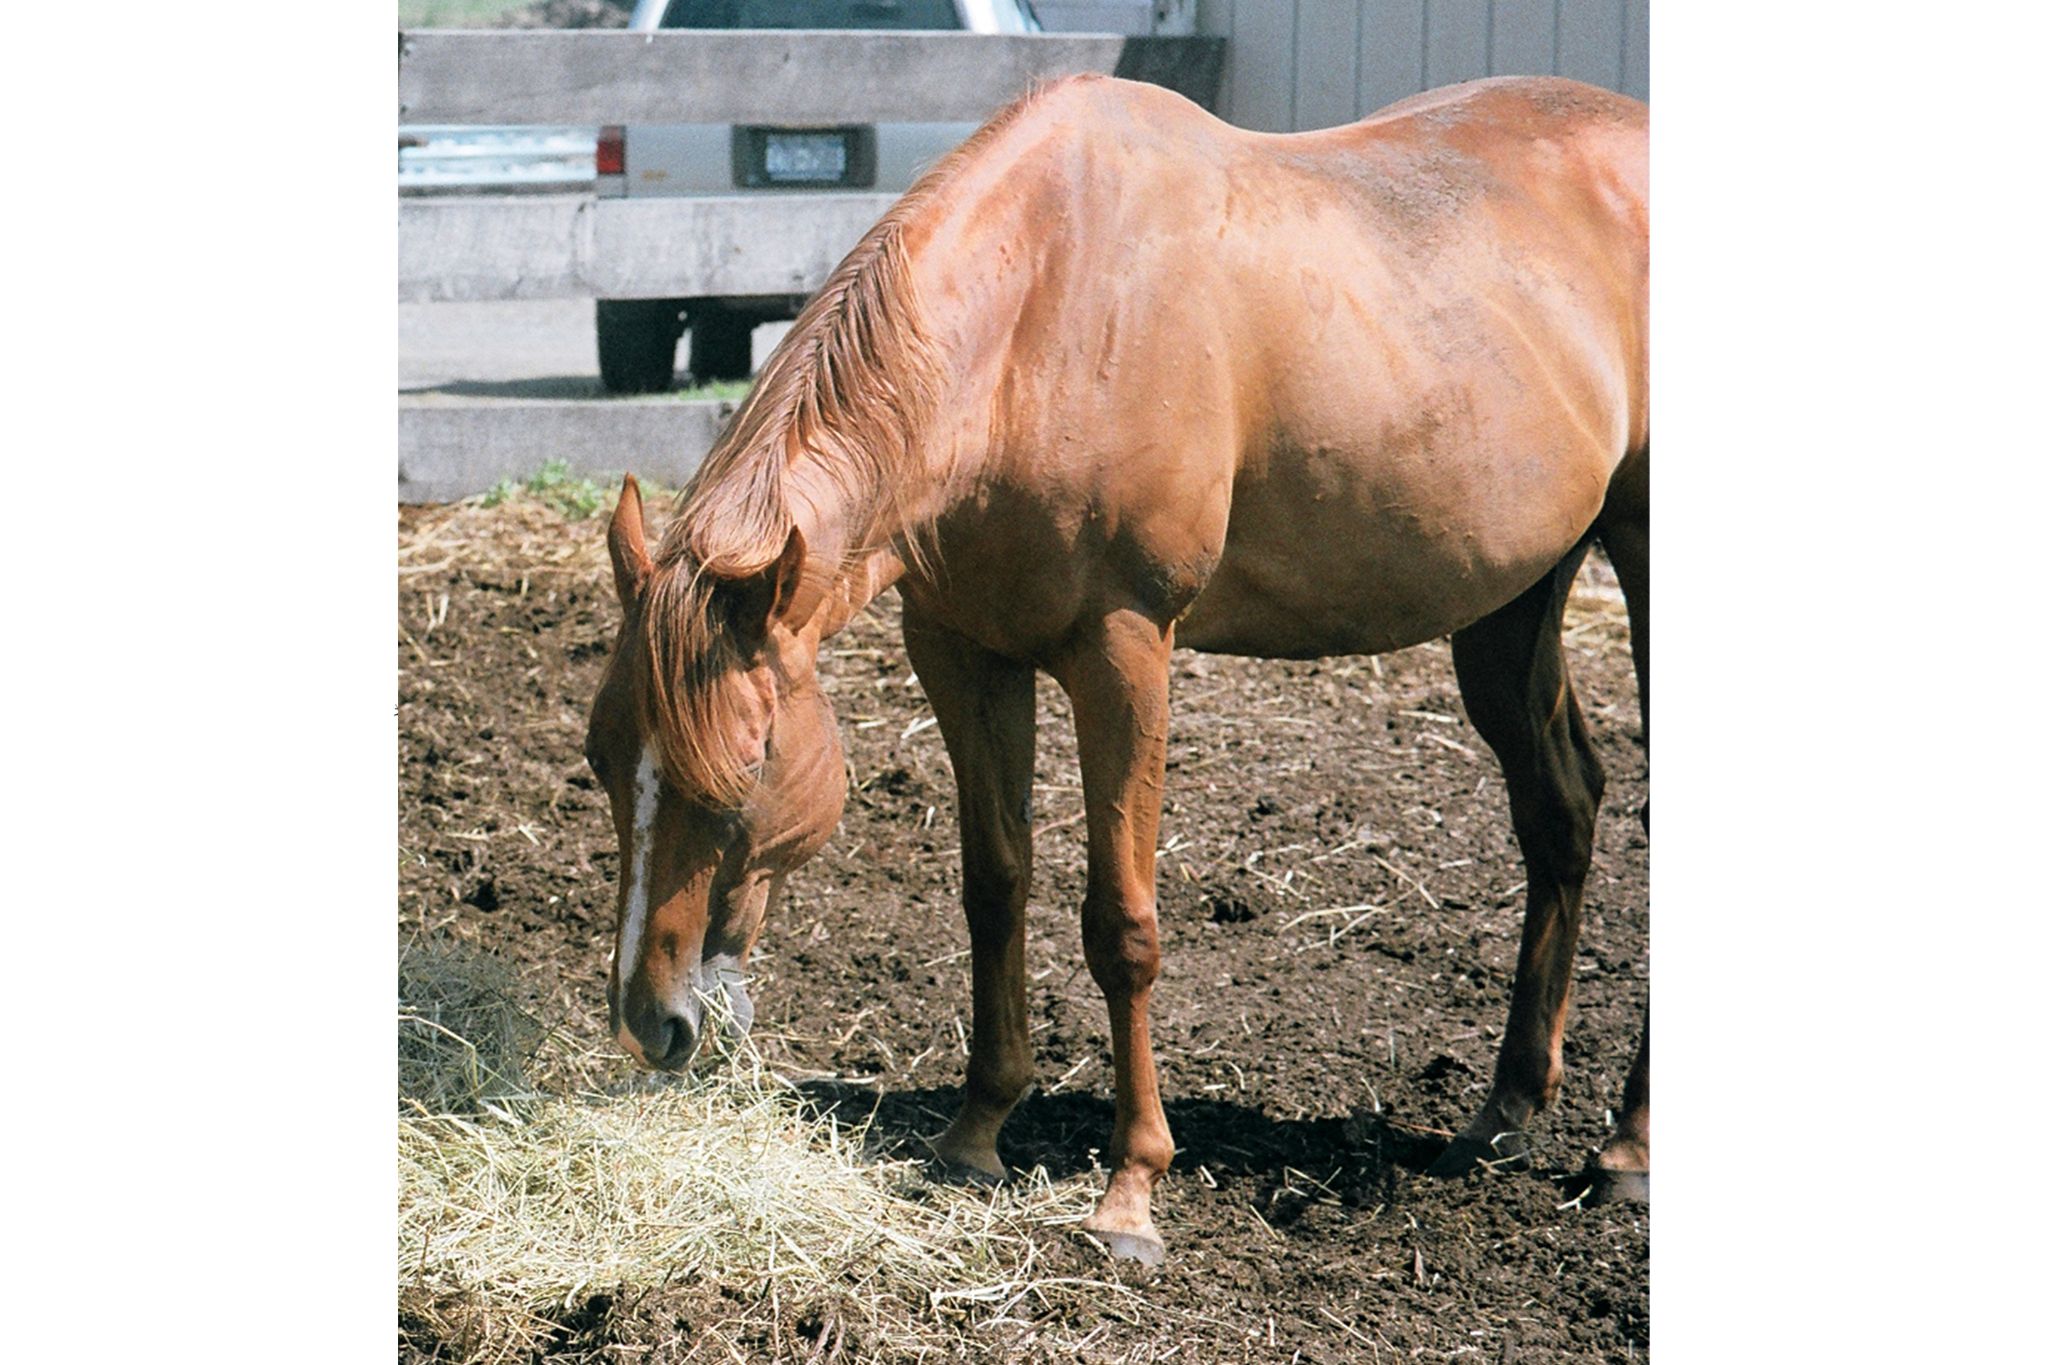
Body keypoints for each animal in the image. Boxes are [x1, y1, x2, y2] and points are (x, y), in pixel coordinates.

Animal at [584, 73, 1648, 1265]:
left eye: (747, 766)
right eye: (599, 759)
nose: (650, 1020)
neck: (1034, 319)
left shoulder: (1124, 651)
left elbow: (1120, 925)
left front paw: (1130, 1191)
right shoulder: (963, 655)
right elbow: (994, 887)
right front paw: (975, 1132)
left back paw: (1626, 1151)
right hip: (1510, 604)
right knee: (1559, 810)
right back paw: (1504, 1113)